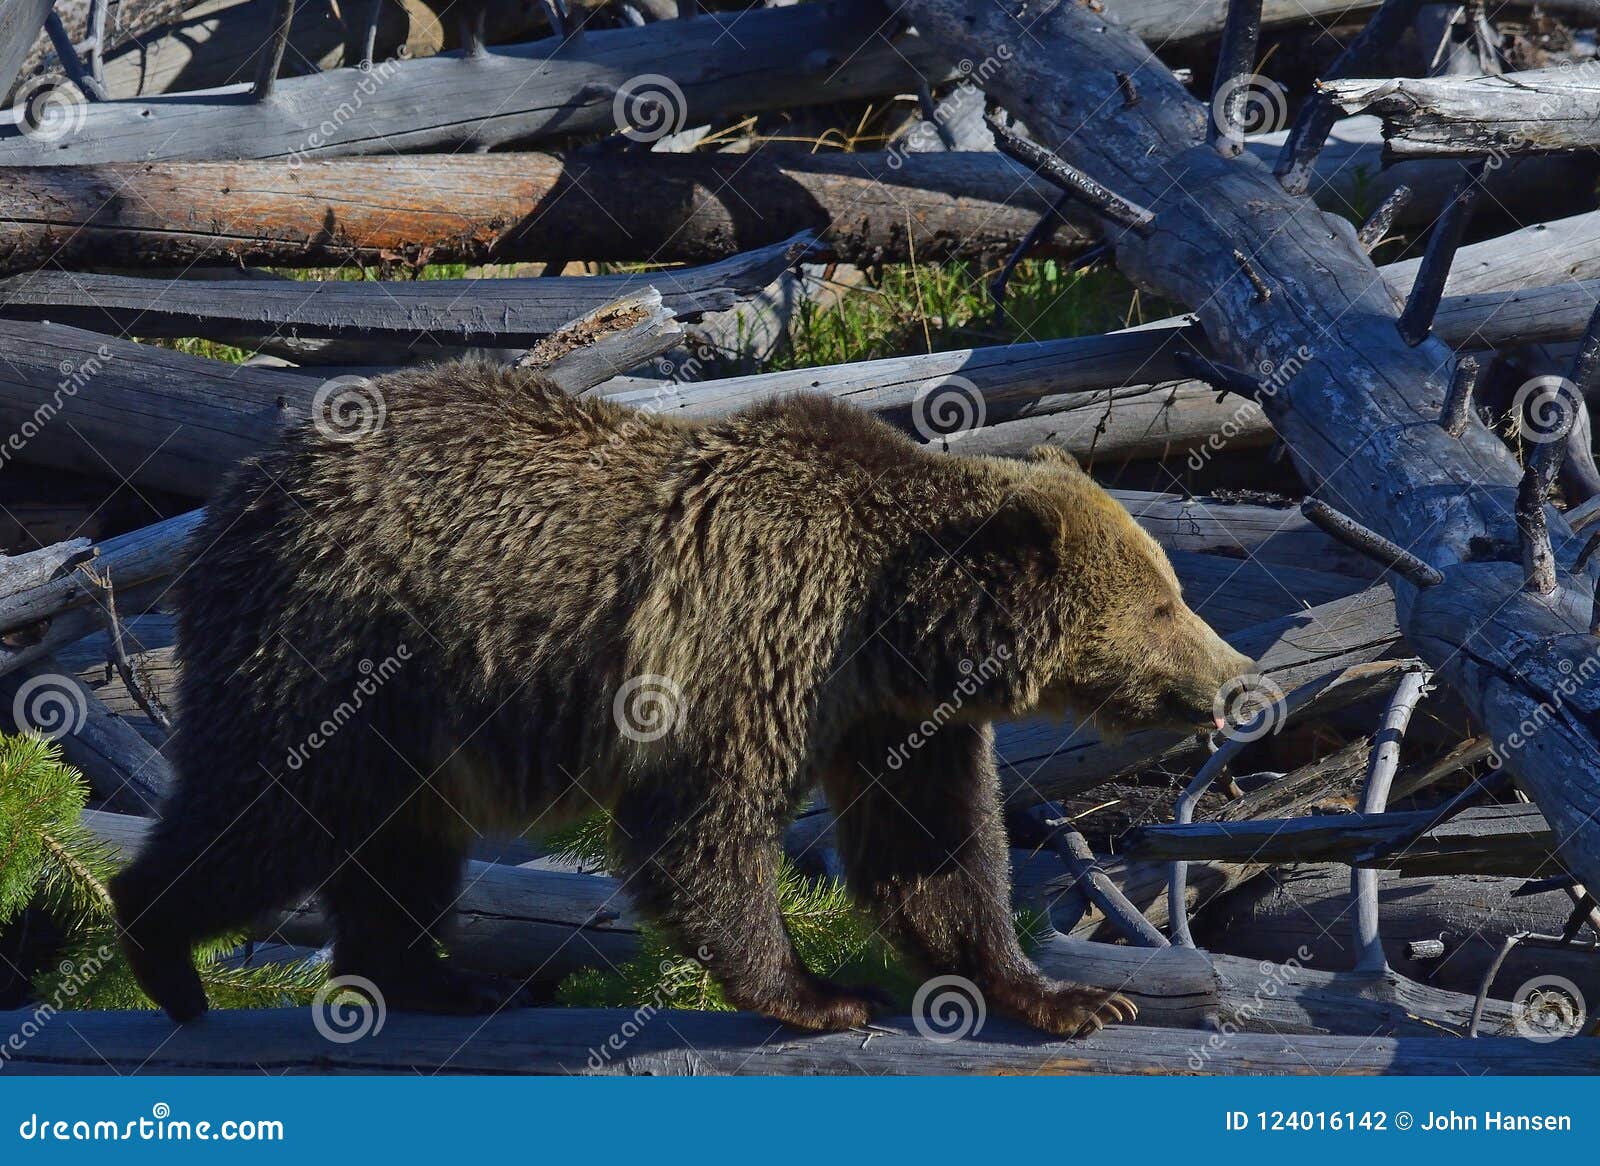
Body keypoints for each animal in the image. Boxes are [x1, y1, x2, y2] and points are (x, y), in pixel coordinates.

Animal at [109, 360, 1251, 1037]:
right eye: (1164, 603)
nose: (1239, 680)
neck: (889, 625)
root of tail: (240, 489)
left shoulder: (891, 716)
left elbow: (932, 851)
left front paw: (1064, 991)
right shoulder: (746, 646)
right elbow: (702, 827)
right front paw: (823, 993)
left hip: (404, 710)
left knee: (403, 846)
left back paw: (437, 978)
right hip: (339, 644)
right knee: (270, 811)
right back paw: (163, 953)